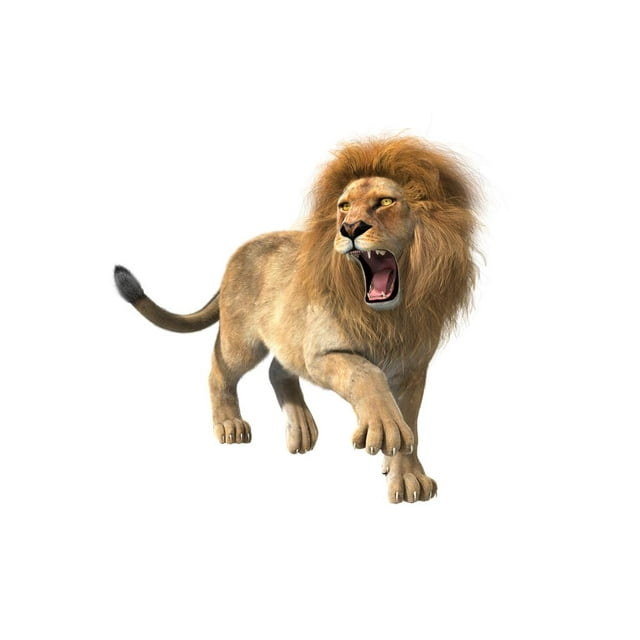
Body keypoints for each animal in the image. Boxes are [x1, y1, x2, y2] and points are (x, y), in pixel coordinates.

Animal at [114, 136, 479, 503]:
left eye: (386, 201)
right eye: (344, 206)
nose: (349, 228)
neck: (390, 317)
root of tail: (239, 252)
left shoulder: (412, 369)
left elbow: (411, 425)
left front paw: (406, 476)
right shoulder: (322, 353)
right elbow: (366, 374)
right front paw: (385, 430)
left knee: (278, 369)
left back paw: (301, 429)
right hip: (241, 342)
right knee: (219, 371)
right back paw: (230, 425)